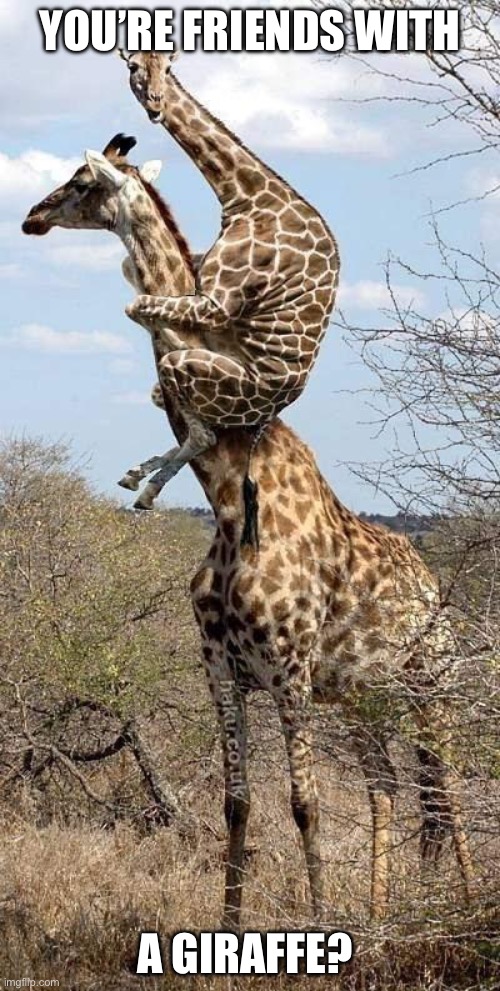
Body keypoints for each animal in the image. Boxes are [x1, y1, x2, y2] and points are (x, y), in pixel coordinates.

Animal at [22, 141, 473, 928]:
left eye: (80, 182)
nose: (30, 217)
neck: (230, 500)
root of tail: (432, 589)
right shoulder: (221, 670)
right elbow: (238, 806)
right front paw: (230, 925)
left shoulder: (288, 670)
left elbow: (305, 804)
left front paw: (321, 927)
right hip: (363, 699)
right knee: (393, 787)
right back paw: (384, 914)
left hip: (432, 690)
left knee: (446, 795)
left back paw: (462, 907)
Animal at [117, 50, 339, 519]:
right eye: (134, 67)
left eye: (169, 67)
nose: (156, 105)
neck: (245, 196)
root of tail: (272, 408)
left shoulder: (215, 302)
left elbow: (141, 303)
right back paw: (137, 478)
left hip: (193, 371)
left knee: (205, 429)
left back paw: (146, 488)